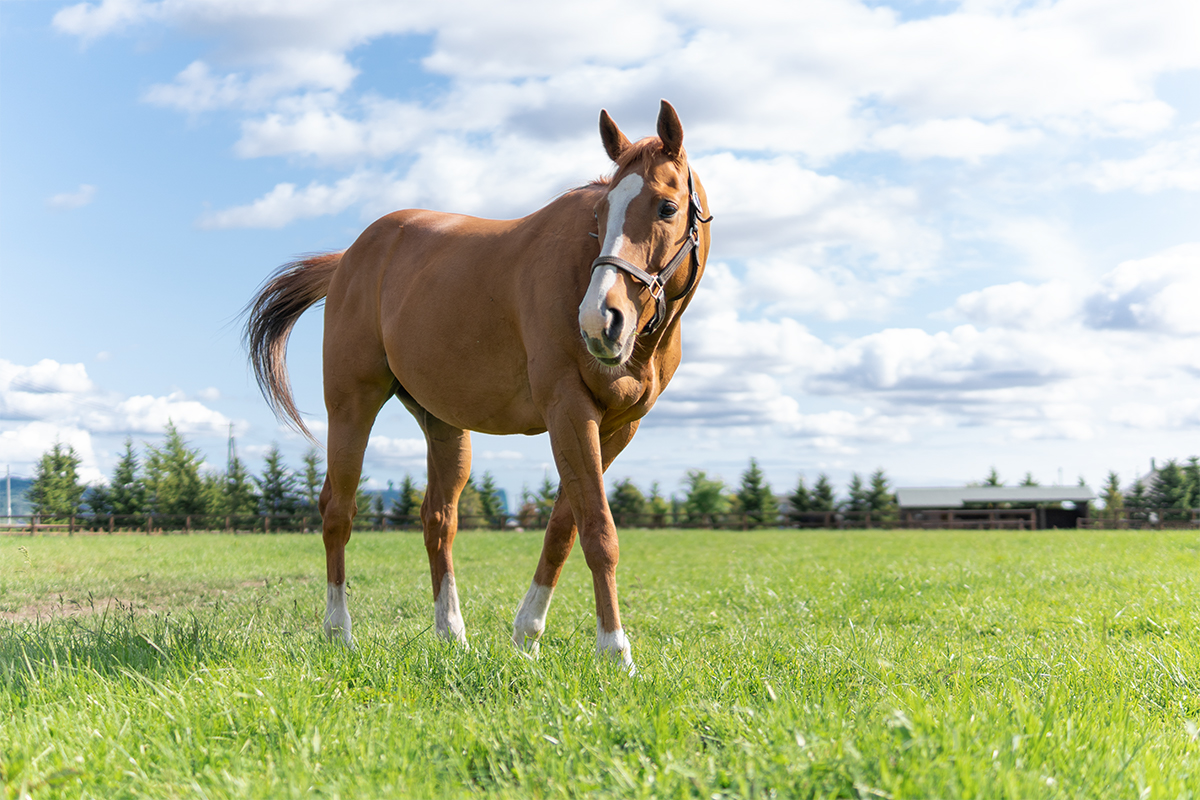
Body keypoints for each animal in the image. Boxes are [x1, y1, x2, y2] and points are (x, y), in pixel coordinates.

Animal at [245, 100, 711, 670]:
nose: (600, 320)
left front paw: (528, 632)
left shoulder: (617, 428)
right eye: (601, 215)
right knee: (338, 509)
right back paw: (339, 631)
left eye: (667, 207)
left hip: (445, 426)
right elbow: (598, 531)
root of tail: (349, 258)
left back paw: (451, 632)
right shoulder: (569, 412)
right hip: (352, 405)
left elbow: (564, 527)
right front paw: (614, 650)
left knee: (438, 519)